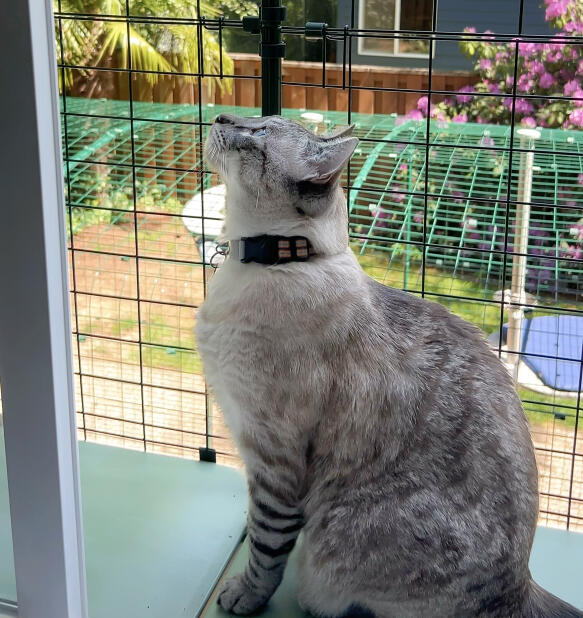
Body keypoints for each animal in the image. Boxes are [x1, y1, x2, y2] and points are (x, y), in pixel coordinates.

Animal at [195, 113, 580, 612]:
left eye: (259, 133)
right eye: (251, 120)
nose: (222, 117)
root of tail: (519, 585)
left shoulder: (274, 455)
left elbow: (265, 545)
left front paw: (244, 594)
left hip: (334, 545)